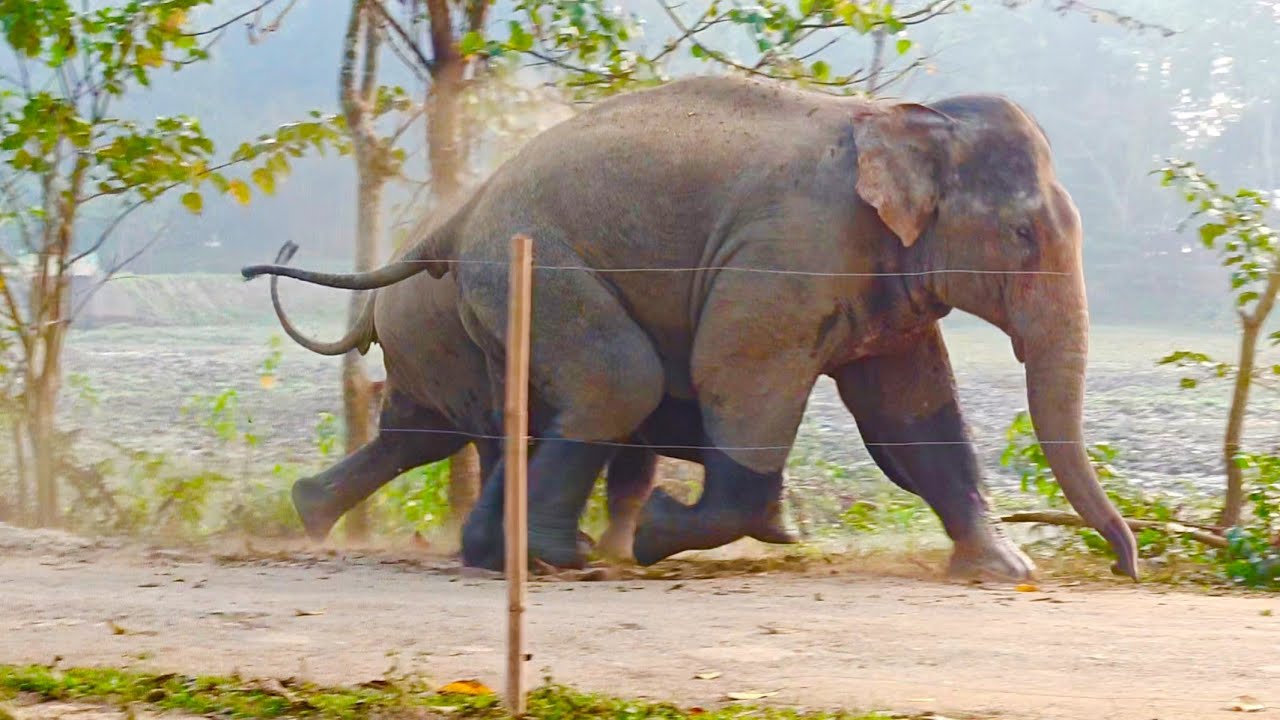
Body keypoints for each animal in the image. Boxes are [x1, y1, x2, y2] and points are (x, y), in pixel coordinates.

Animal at [244, 75, 1139, 580]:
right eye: (1023, 236)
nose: (1126, 564)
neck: (897, 118)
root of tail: (463, 212)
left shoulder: (882, 282)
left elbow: (912, 416)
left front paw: (1002, 569)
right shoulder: (786, 258)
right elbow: (735, 377)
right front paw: (669, 532)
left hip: (492, 298)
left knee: (506, 419)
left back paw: (475, 549)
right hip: (532, 263)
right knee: (615, 384)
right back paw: (563, 557)